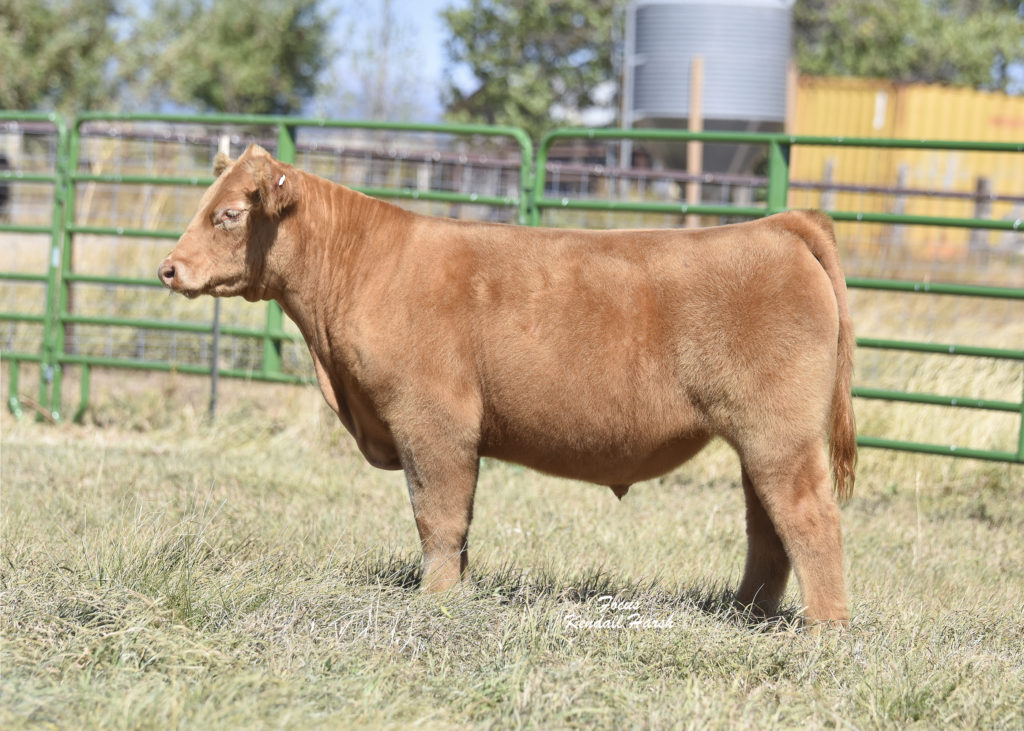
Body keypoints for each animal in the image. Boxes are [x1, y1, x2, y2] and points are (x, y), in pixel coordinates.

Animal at [159, 144, 857, 625]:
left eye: (227, 214)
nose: (168, 268)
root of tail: (777, 226)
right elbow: (454, 524)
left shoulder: (432, 421)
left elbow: (437, 518)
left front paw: (435, 602)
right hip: (760, 443)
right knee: (768, 531)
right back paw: (746, 616)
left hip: (780, 436)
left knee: (810, 521)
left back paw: (823, 631)